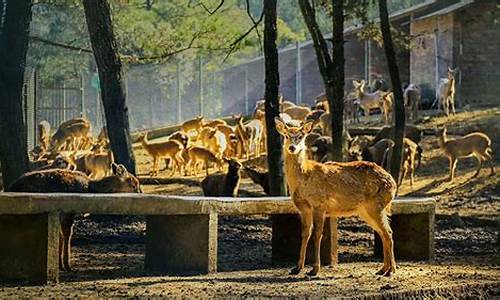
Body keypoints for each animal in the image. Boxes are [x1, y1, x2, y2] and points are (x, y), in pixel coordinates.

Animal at [274, 118, 398, 278]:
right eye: (286, 135)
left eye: (301, 136)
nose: (292, 147)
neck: (304, 176)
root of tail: (393, 183)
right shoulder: (304, 209)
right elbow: (305, 234)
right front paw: (297, 268)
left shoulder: (319, 205)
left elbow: (317, 235)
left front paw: (314, 269)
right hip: (366, 210)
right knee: (384, 232)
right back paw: (383, 269)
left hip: (376, 205)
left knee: (387, 232)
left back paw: (390, 270)